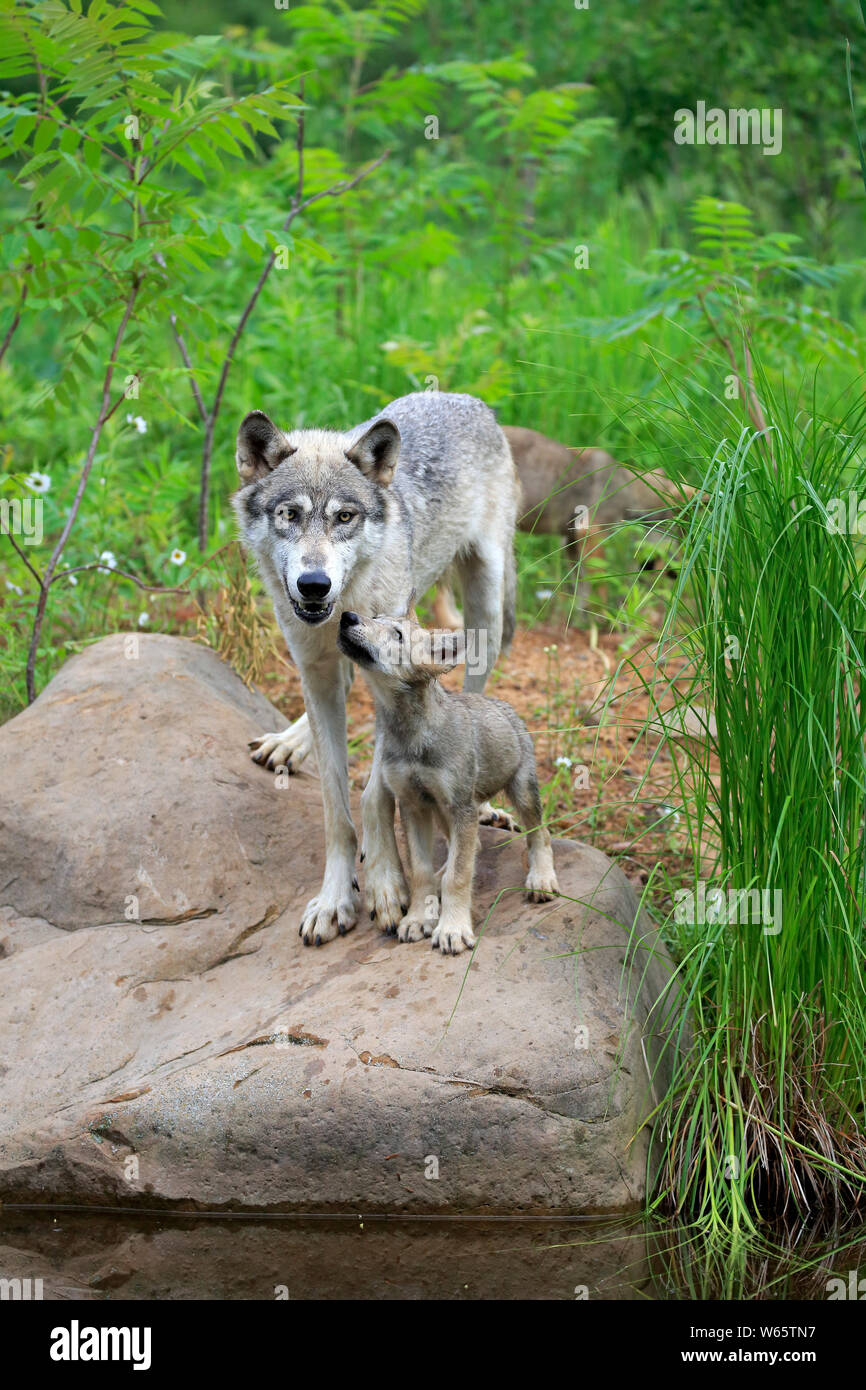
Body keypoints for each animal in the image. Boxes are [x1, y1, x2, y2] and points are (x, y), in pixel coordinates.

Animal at [232, 391, 519, 946]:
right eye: (289, 514)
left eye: (345, 516)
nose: (314, 584)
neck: (346, 601)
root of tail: (462, 398)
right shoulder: (315, 670)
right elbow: (335, 808)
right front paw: (334, 899)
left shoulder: (387, 678)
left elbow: (372, 794)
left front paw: (388, 884)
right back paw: (289, 741)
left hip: (487, 617)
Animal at [337, 604, 559, 955]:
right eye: (376, 617)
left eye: (397, 635)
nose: (347, 616)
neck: (410, 736)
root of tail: (504, 704)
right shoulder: (413, 805)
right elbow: (421, 872)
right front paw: (419, 918)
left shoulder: (461, 808)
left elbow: (459, 875)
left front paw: (452, 928)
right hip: (443, 811)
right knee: (472, 845)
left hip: (520, 792)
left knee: (540, 833)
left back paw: (542, 878)